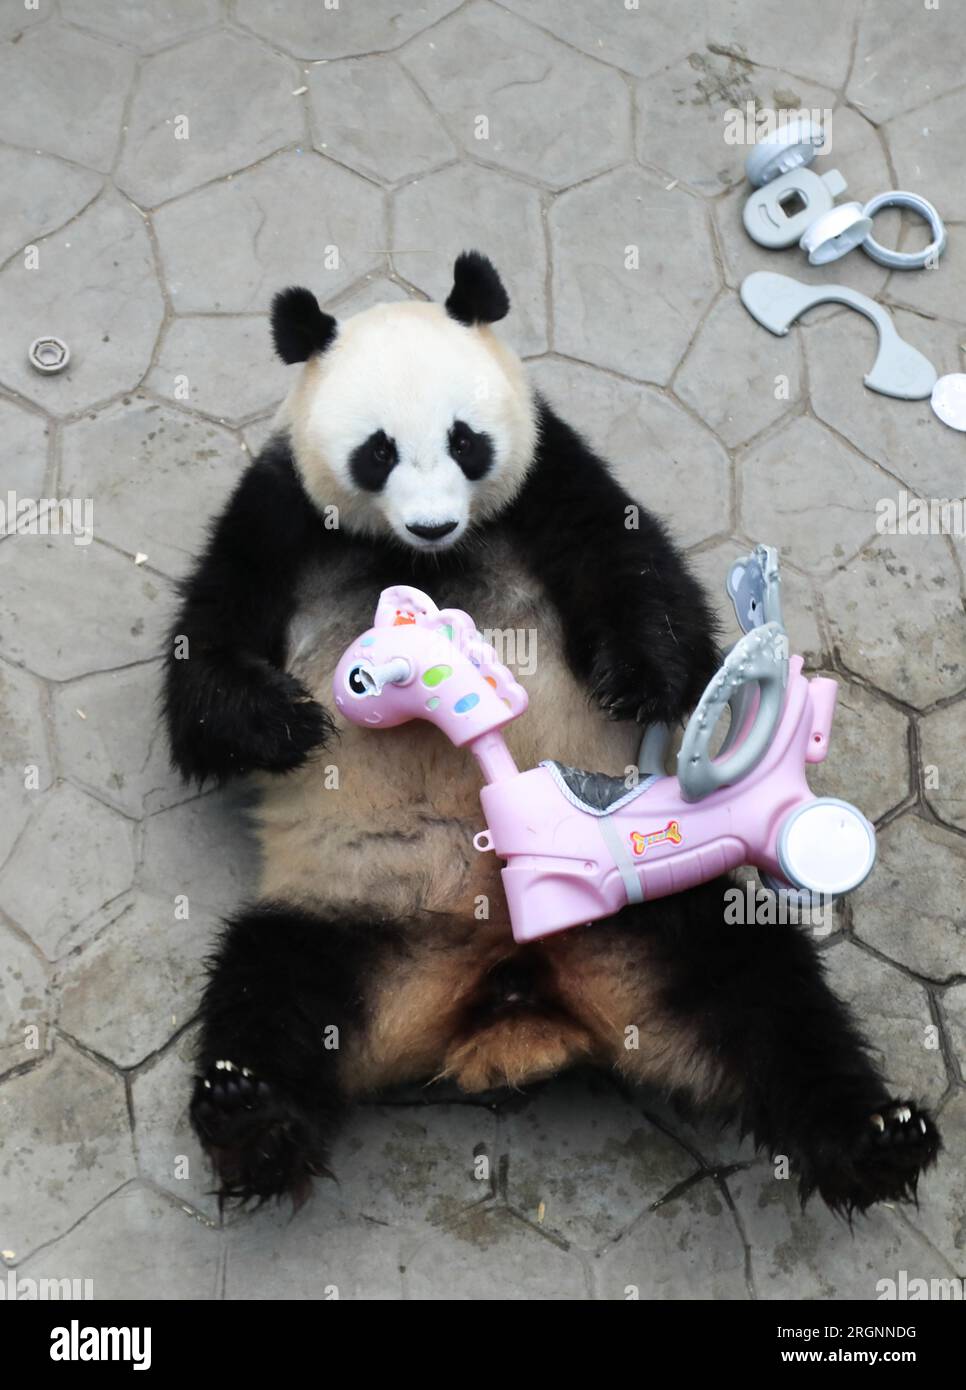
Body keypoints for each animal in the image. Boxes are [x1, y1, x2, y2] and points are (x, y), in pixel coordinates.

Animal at [164, 251, 940, 1213]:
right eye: (377, 451)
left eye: (466, 441)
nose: (432, 522)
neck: (417, 559)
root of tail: (513, 996)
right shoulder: (277, 513)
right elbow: (202, 664)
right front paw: (286, 723)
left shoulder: (549, 479)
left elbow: (642, 578)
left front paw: (634, 683)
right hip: (349, 919)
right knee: (270, 992)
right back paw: (250, 1118)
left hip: (661, 921)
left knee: (764, 995)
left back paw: (875, 1138)